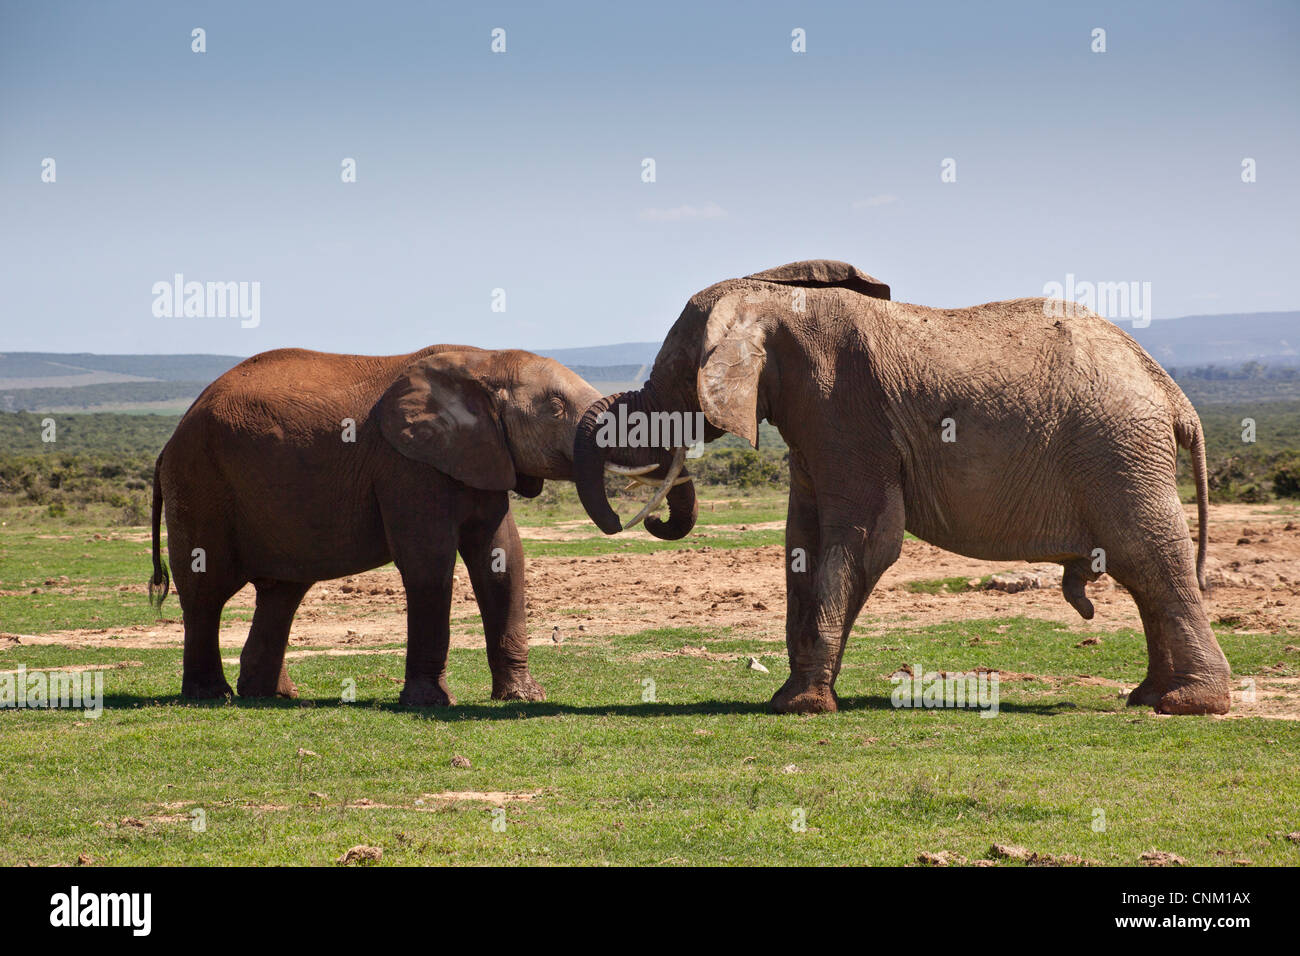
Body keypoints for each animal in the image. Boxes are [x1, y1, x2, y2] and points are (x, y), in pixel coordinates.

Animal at [148, 345, 604, 705]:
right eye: (556, 408)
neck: (485, 359)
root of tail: (169, 440)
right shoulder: (405, 465)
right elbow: (428, 564)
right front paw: (429, 703)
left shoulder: (483, 456)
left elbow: (504, 560)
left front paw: (523, 698)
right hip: (199, 481)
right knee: (207, 590)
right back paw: (213, 696)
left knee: (282, 592)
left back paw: (274, 695)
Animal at [572, 260, 1231, 716]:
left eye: (676, 374)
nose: (653, 517)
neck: (771, 300)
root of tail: (1174, 393)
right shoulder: (814, 423)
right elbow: (802, 541)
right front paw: (789, 698)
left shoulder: (844, 410)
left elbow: (866, 540)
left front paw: (802, 707)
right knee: (1140, 571)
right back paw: (1147, 697)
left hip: (1118, 450)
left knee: (1148, 555)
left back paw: (1187, 706)